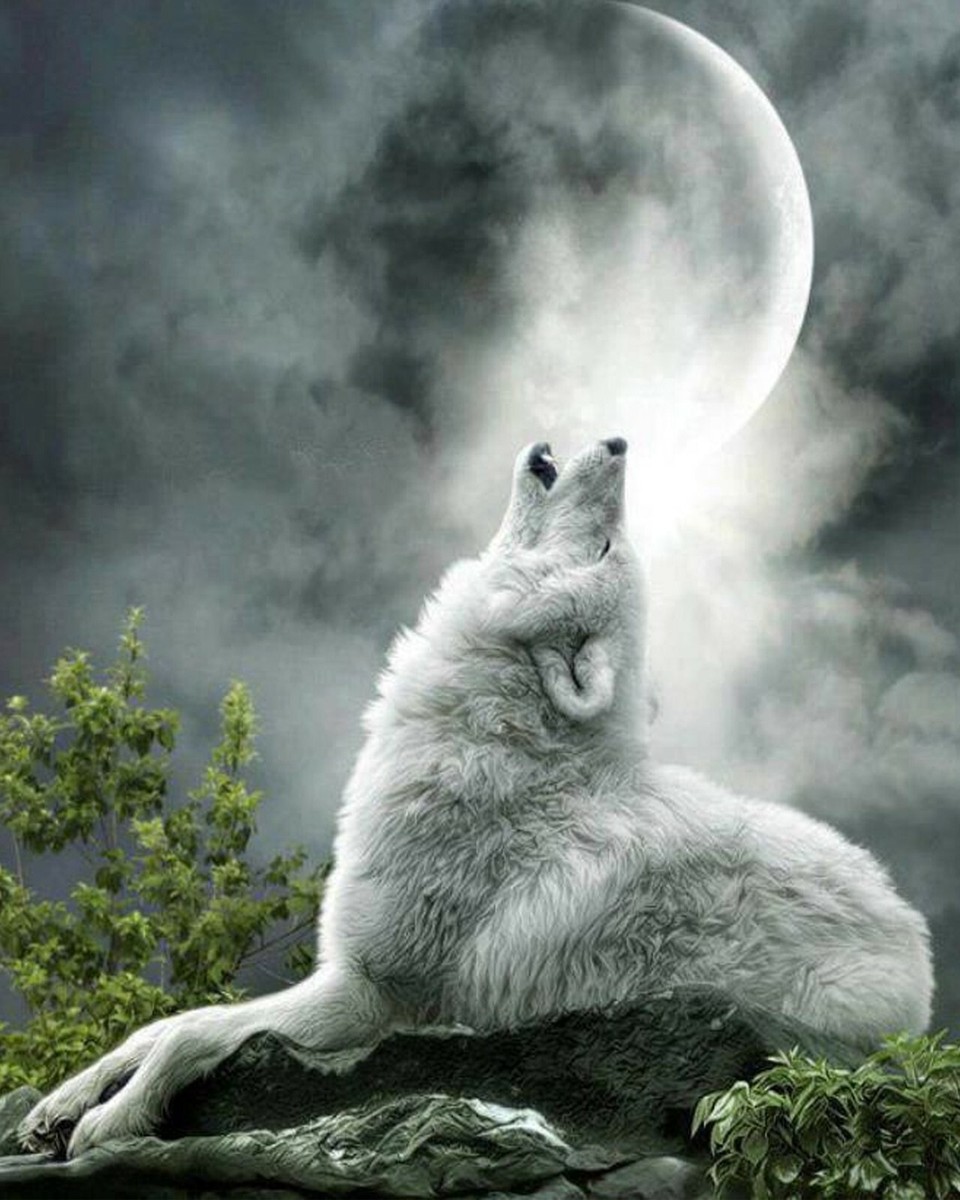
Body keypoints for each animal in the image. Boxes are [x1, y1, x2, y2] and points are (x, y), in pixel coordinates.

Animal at [22, 437, 933, 1158]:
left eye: (606, 543)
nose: (619, 440)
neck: (498, 739)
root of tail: (919, 952)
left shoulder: (365, 996)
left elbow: (190, 1034)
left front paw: (111, 1123)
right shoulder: (343, 979)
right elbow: (157, 1026)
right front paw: (56, 1106)